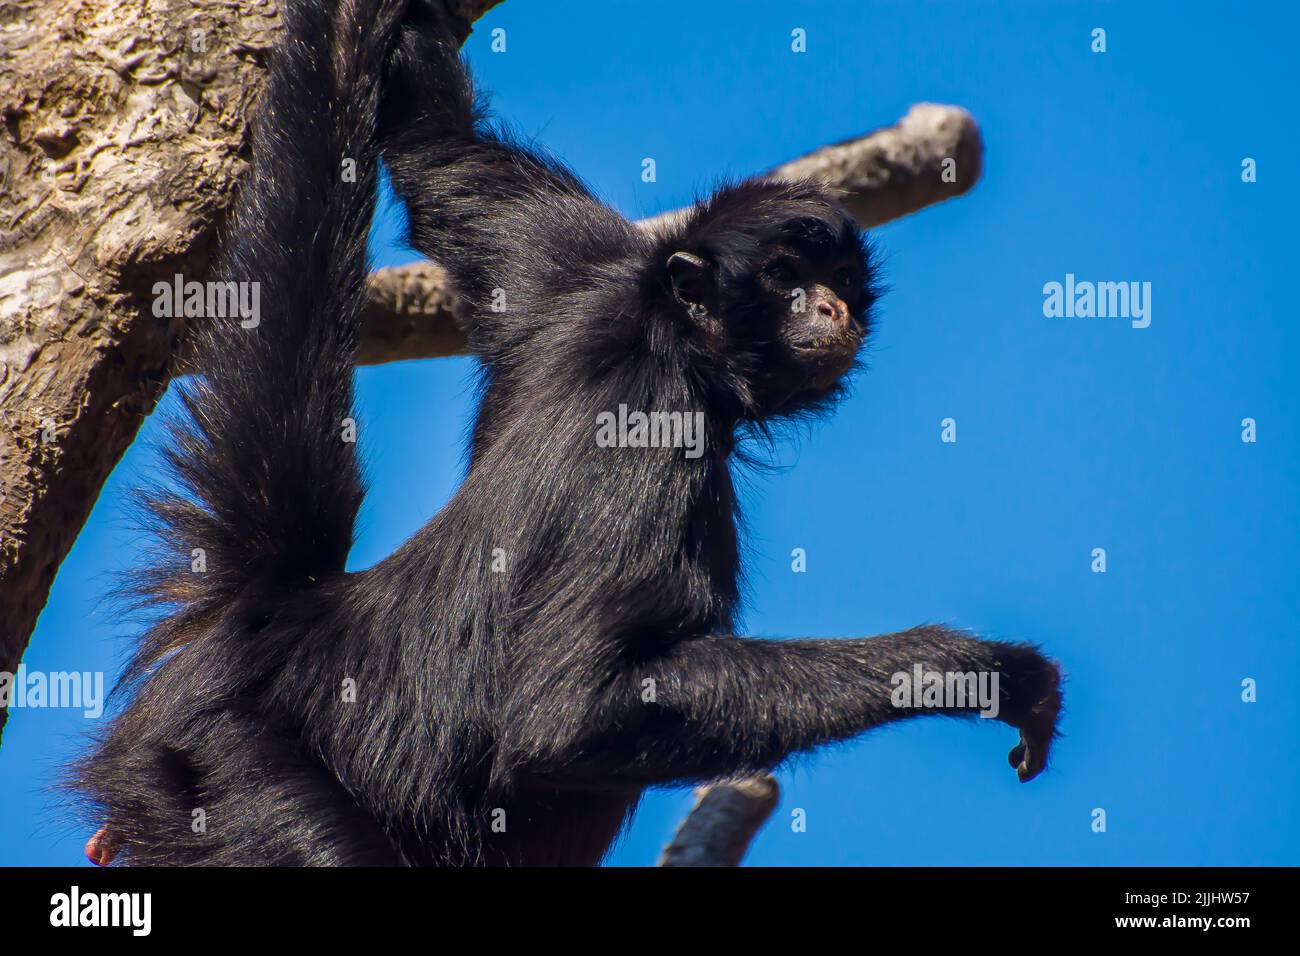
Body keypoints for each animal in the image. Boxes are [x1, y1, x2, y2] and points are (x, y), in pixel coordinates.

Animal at [68, 0, 1062, 866]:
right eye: (785, 276)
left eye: (841, 283)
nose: (830, 307)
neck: (658, 333)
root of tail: (289, 613)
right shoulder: (651, 431)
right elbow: (567, 715)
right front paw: (971, 667)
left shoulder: (577, 272)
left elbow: (441, 150)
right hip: (225, 765)